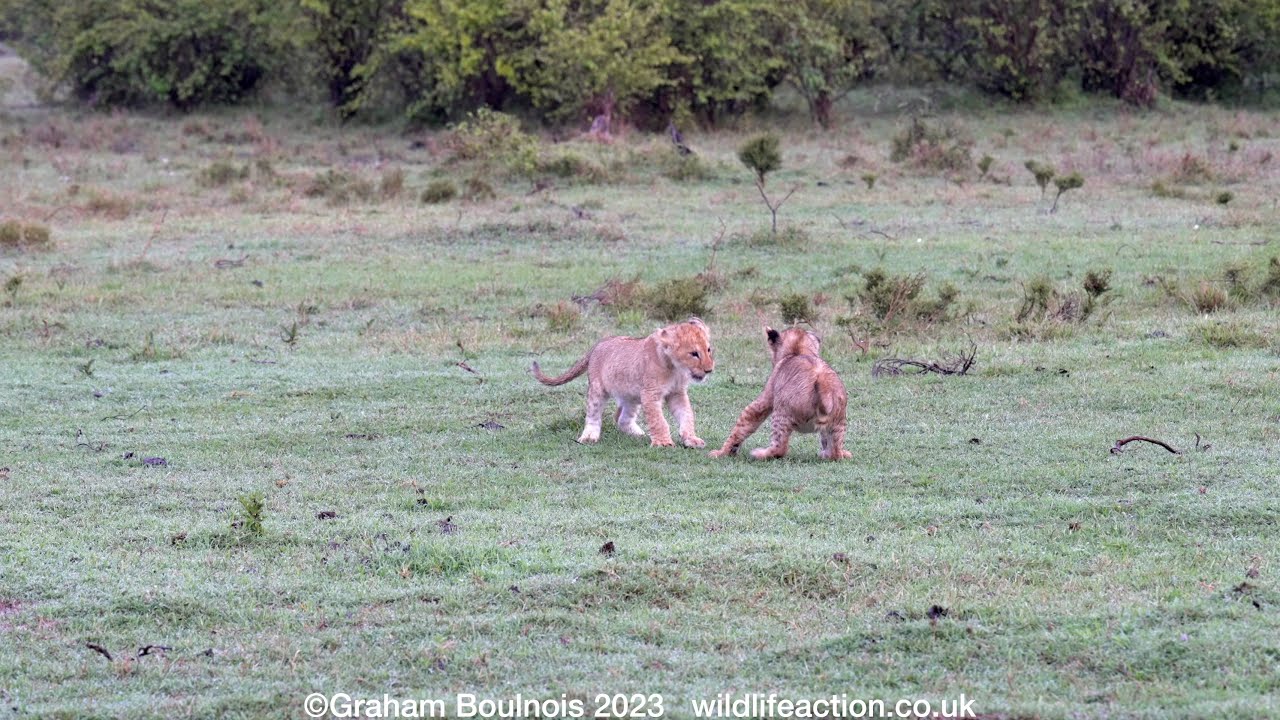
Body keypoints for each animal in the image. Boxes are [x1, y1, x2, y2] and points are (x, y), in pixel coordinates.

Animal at [532, 317, 715, 447]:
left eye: (708, 350)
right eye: (693, 353)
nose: (709, 370)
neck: (676, 369)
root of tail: (601, 341)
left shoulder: (677, 393)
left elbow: (686, 415)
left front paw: (692, 439)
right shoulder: (650, 394)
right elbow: (659, 420)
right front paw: (663, 443)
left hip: (632, 396)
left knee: (621, 418)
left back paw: (638, 434)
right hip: (598, 389)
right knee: (593, 414)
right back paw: (589, 436)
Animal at [709, 326, 851, 461]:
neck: (798, 351)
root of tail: (823, 383)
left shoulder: (763, 401)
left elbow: (742, 425)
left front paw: (720, 453)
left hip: (781, 413)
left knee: (780, 448)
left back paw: (759, 454)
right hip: (838, 422)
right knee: (835, 451)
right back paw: (837, 453)